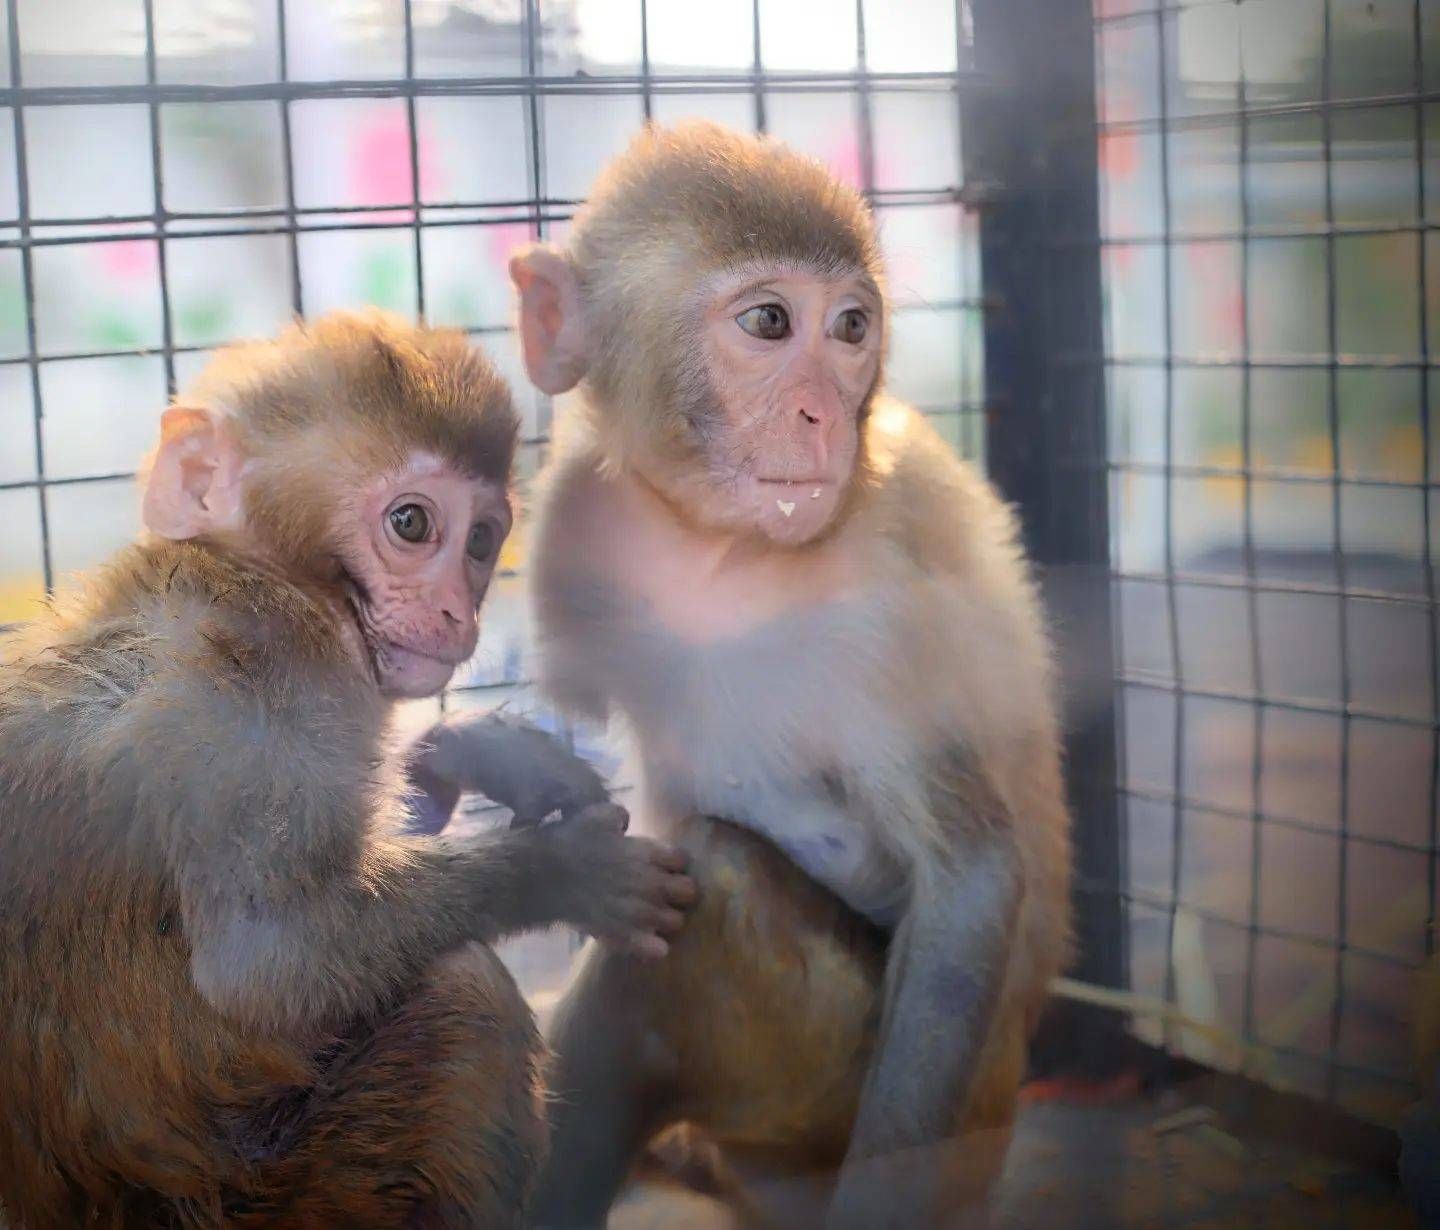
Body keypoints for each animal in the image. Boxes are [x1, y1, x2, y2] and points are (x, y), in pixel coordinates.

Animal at [0, 311, 697, 1230]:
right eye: (412, 525)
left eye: (482, 540)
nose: (458, 611)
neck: (243, 566)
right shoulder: (266, 691)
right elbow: (270, 965)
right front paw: (557, 871)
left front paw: (472, 752)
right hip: (291, 1201)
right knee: (466, 999)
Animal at [508, 122, 1073, 1229]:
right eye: (769, 323)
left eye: (851, 328)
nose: (823, 415)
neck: (717, 555)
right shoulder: (575, 517)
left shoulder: (876, 614)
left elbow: (972, 882)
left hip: (822, 1079)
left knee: (705, 895)